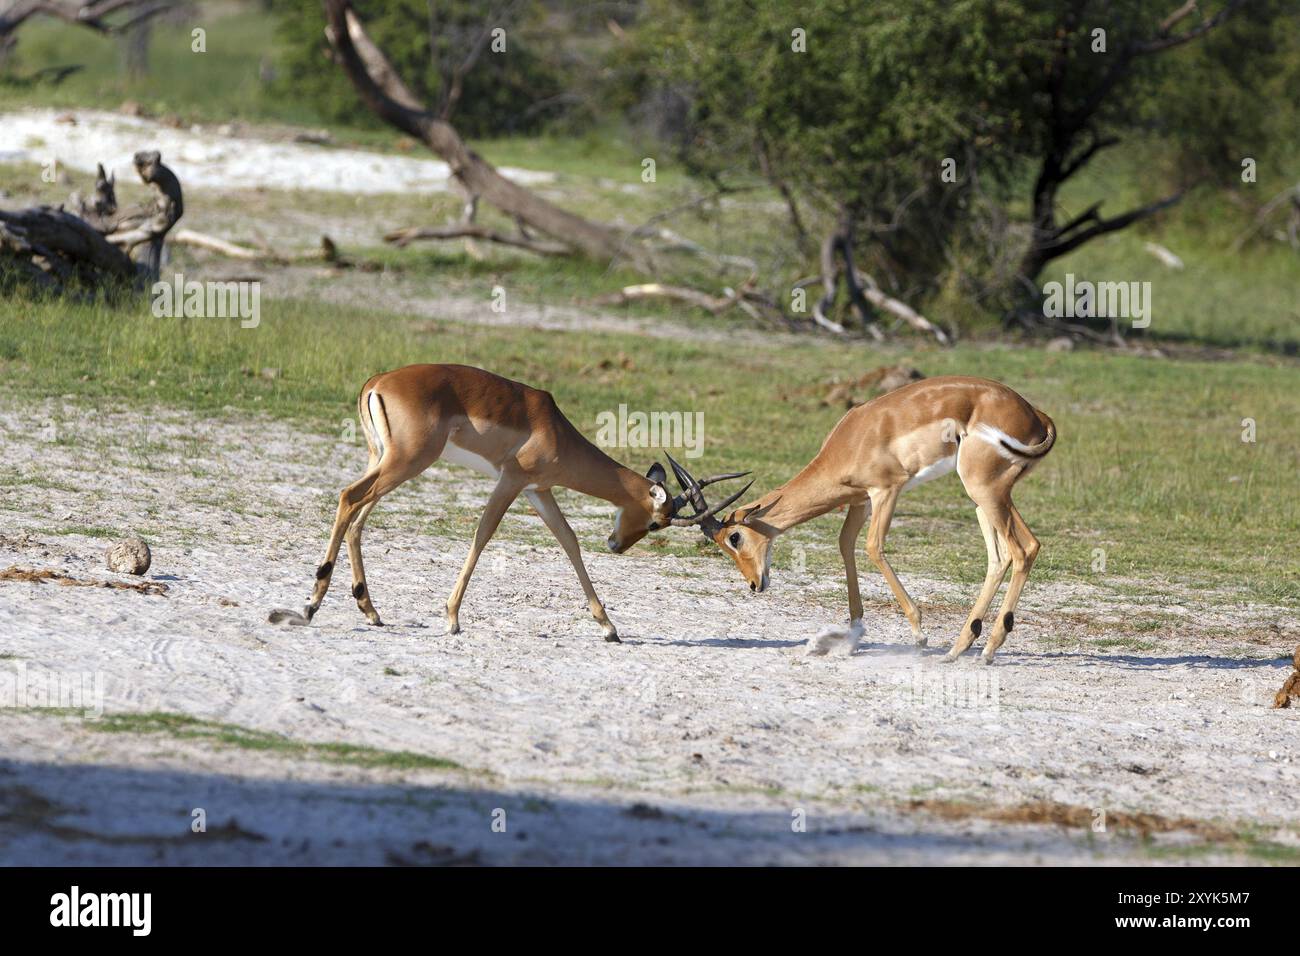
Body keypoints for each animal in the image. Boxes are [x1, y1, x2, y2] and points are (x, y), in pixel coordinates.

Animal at [268, 364, 749, 640]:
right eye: (655, 523)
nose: (616, 545)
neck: (555, 430)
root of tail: (377, 382)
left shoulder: (539, 491)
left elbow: (569, 542)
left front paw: (609, 627)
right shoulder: (512, 480)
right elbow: (483, 535)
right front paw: (452, 619)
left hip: (385, 459)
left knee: (357, 515)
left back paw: (369, 611)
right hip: (407, 462)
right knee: (349, 498)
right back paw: (310, 606)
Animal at [669, 376, 1057, 663]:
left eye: (734, 537)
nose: (754, 584)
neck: (852, 440)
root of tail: (1036, 414)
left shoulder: (887, 490)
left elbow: (873, 546)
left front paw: (919, 635)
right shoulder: (859, 501)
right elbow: (845, 545)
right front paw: (853, 636)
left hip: (985, 490)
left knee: (1024, 549)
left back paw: (987, 649)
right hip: (984, 498)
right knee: (1002, 557)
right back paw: (958, 648)